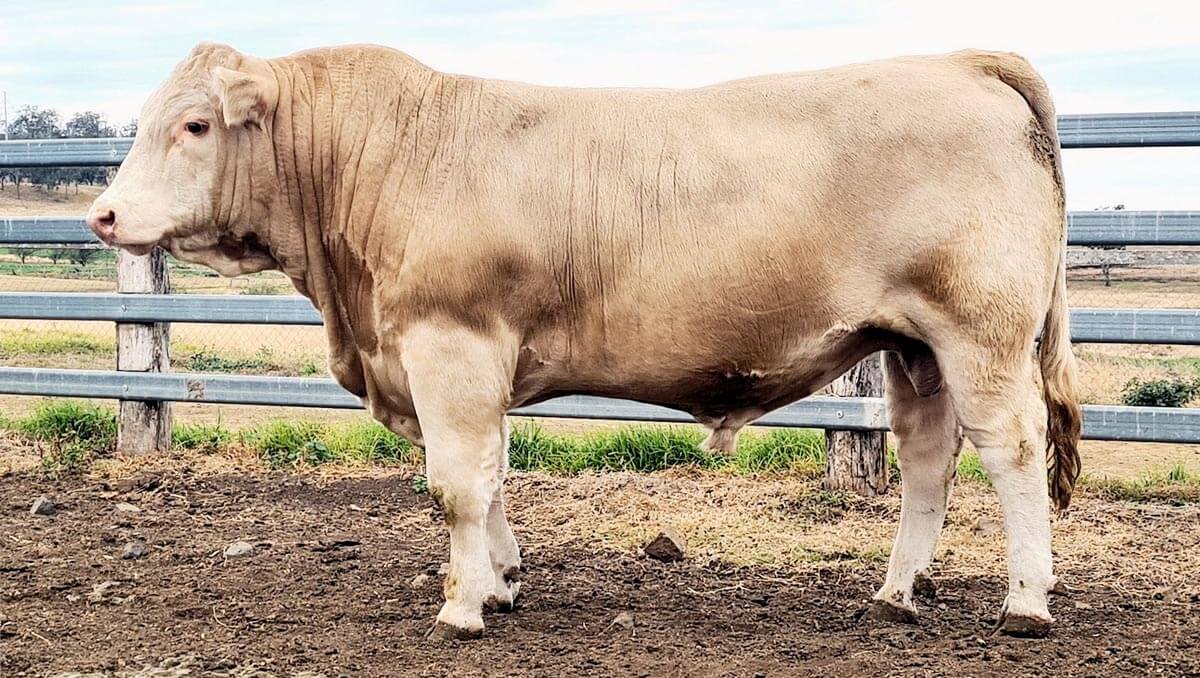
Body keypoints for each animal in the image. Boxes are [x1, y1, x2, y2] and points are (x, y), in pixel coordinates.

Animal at [86, 42, 1082, 640]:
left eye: (195, 124)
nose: (102, 215)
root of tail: (961, 62)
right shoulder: (472, 365)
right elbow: (491, 476)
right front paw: (501, 581)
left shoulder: (450, 345)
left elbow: (456, 484)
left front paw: (461, 608)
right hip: (914, 347)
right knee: (927, 461)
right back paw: (896, 593)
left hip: (980, 334)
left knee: (1012, 452)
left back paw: (1026, 603)